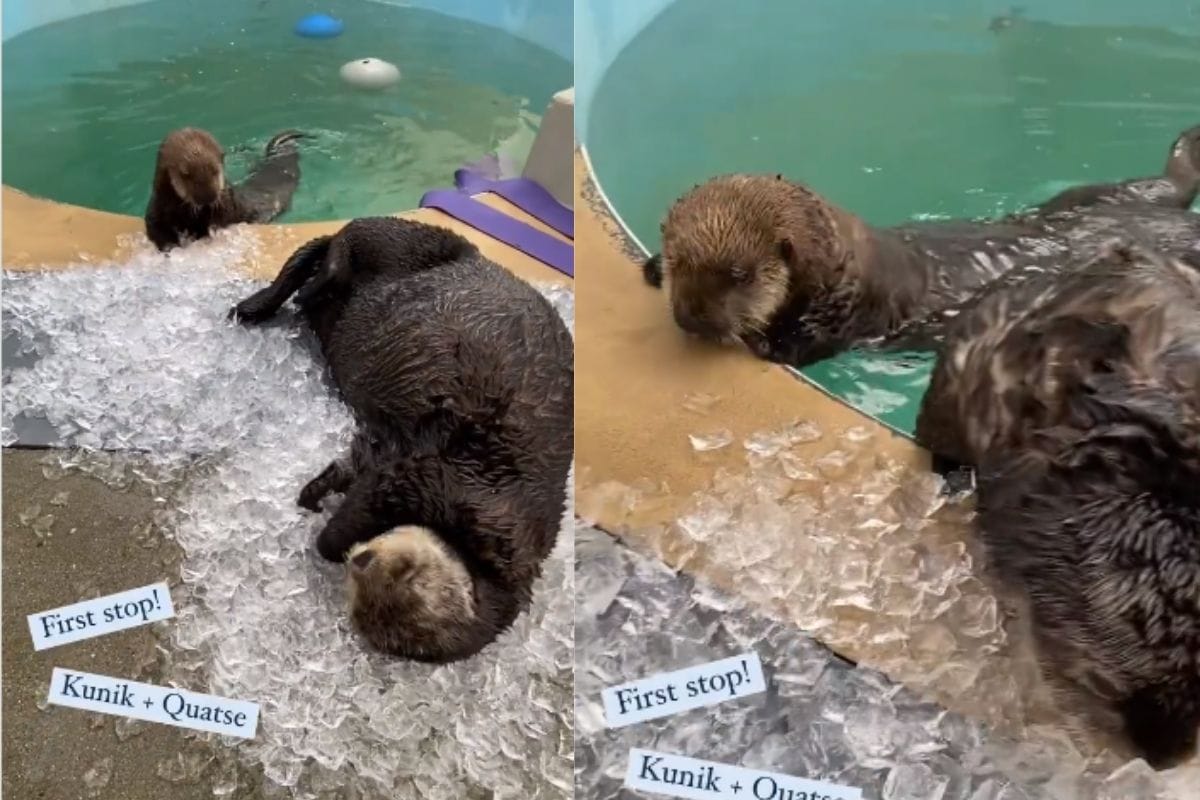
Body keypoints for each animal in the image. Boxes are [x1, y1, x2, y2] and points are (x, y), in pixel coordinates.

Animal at [145, 127, 305, 252]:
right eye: (185, 174)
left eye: (215, 171)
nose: (208, 197)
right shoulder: (158, 205)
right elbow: (155, 227)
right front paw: (169, 246)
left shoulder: (227, 204)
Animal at [230, 217, 573, 663]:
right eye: (409, 569)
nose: (363, 559)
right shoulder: (444, 487)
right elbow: (356, 512)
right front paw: (325, 520)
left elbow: (358, 481)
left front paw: (321, 491)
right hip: (414, 241)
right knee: (345, 243)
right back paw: (270, 299)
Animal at [642, 124, 1200, 366]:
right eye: (679, 262)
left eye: (739, 276)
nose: (690, 316)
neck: (844, 259)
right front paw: (651, 266)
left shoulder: (844, 310)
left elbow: (801, 347)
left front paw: (761, 342)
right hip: (1103, 192)